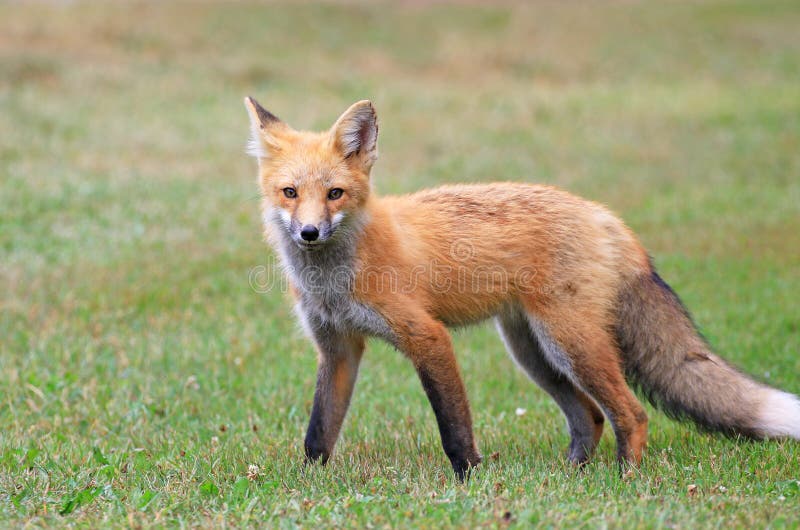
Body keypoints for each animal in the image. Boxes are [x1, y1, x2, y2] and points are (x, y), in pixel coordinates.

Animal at [243, 97, 800, 480]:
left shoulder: (427, 336)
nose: (309, 232)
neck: (335, 278)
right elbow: (319, 432)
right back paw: (571, 478)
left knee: (632, 414)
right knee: (590, 417)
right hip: (533, 352)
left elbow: (454, 427)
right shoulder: (338, 348)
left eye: (335, 193)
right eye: (290, 193)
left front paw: (469, 481)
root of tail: (607, 217)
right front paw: (310, 484)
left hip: (570, 344)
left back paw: (626, 482)